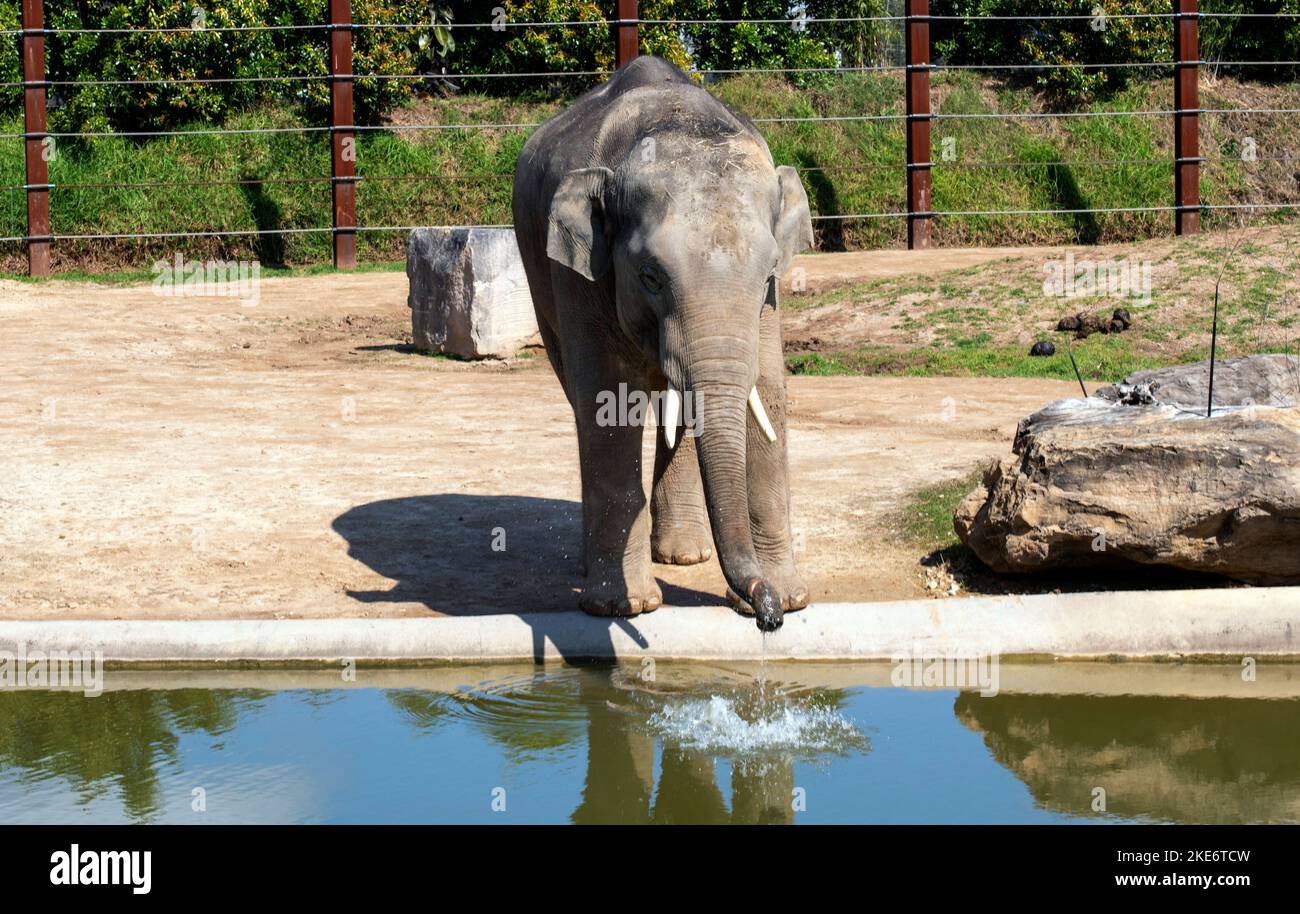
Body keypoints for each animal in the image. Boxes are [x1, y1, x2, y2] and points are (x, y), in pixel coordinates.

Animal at [511, 56, 814, 631]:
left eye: (769, 271)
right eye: (650, 276)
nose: (764, 617)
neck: (675, 120)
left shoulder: (766, 307)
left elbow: (769, 392)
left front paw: (790, 598)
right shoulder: (581, 279)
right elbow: (605, 402)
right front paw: (624, 606)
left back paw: (684, 555)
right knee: (580, 395)